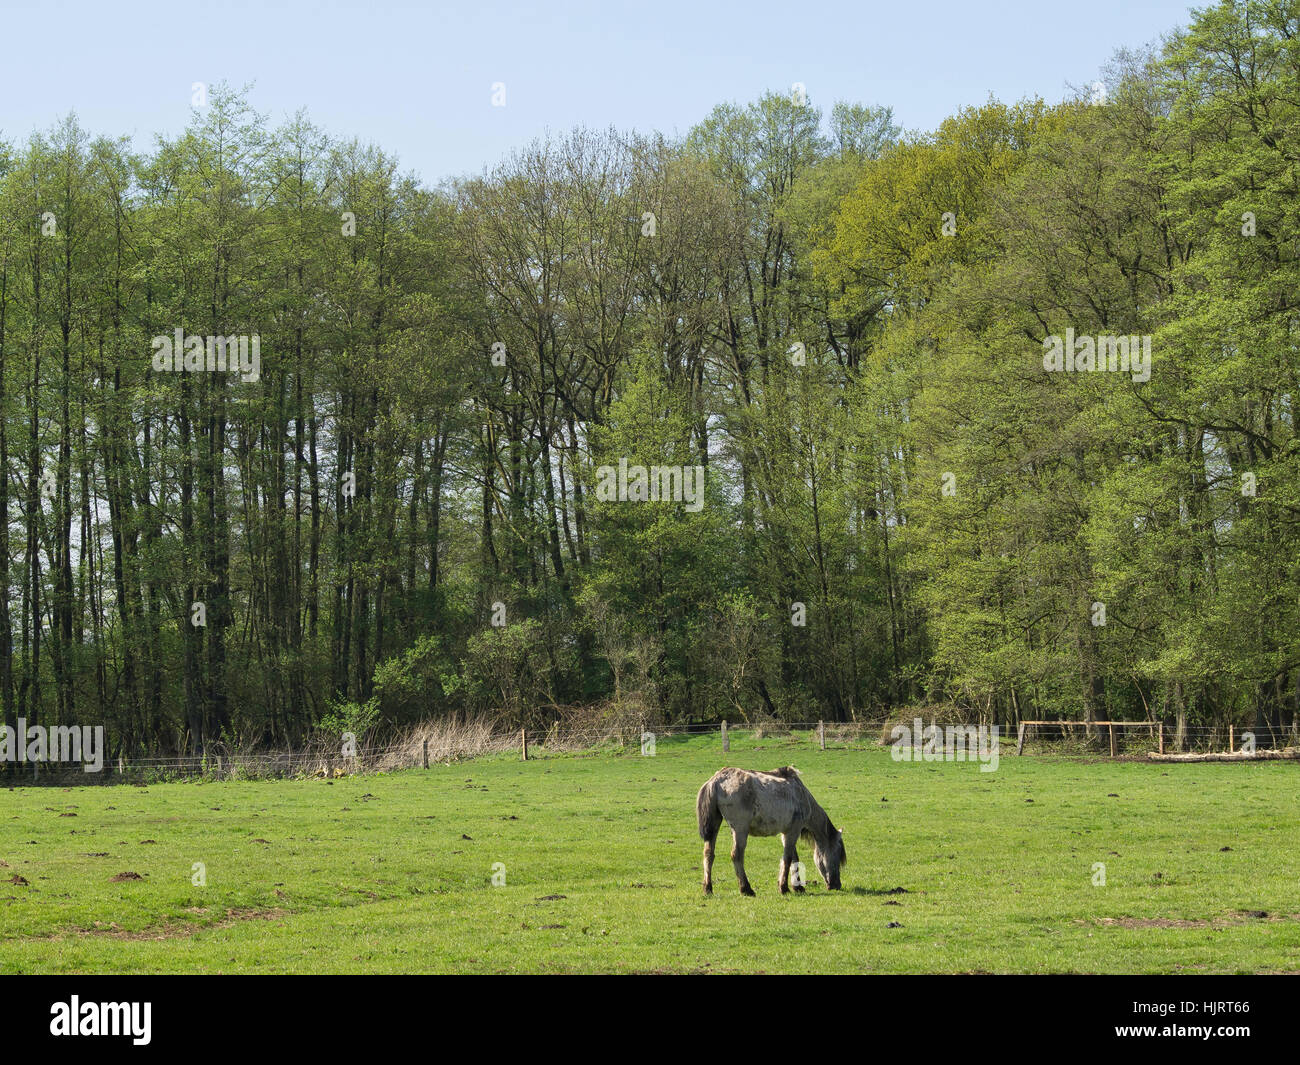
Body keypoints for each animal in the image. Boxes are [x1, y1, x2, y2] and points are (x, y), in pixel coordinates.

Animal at [696, 765, 846, 896]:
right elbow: (788, 858)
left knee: (708, 854)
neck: (801, 795)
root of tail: (716, 780)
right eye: (838, 854)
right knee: (736, 855)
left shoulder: (786, 833)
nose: (836, 885)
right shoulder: (793, 831)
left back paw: (708, 888)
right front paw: (784, 888)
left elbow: (793, 858)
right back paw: (746, 889)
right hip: (740, 830)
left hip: (715, 825)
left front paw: (797, 887)